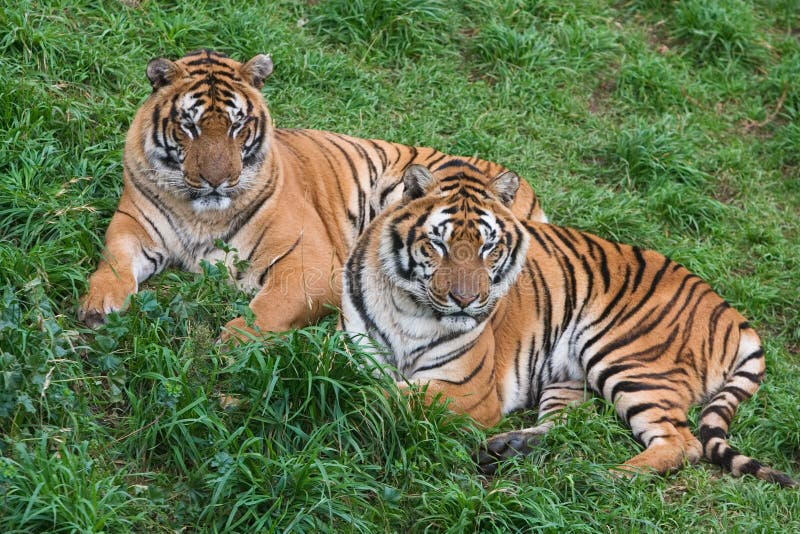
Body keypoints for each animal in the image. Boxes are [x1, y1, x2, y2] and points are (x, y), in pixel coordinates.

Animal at [77, 49, 546, 337]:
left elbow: (269, 307)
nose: (216, 180)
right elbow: (113, 263)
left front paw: (233, 343)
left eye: (236, 125)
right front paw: (98, 305)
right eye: (189, 125)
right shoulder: (132, 226)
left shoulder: (313, 263)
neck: (201, 211)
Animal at [340, 160, 795, 486]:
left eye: (489, 247)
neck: (409, 308)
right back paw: (509, 446)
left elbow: (383, 396)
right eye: (438, 243)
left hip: (625, 355)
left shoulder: (468, 388)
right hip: (568, 376)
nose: (466, 301)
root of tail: (734, 313)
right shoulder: (358, 350)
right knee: (572, 422)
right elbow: (362, 381)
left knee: (682, 443)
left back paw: (610, 478)